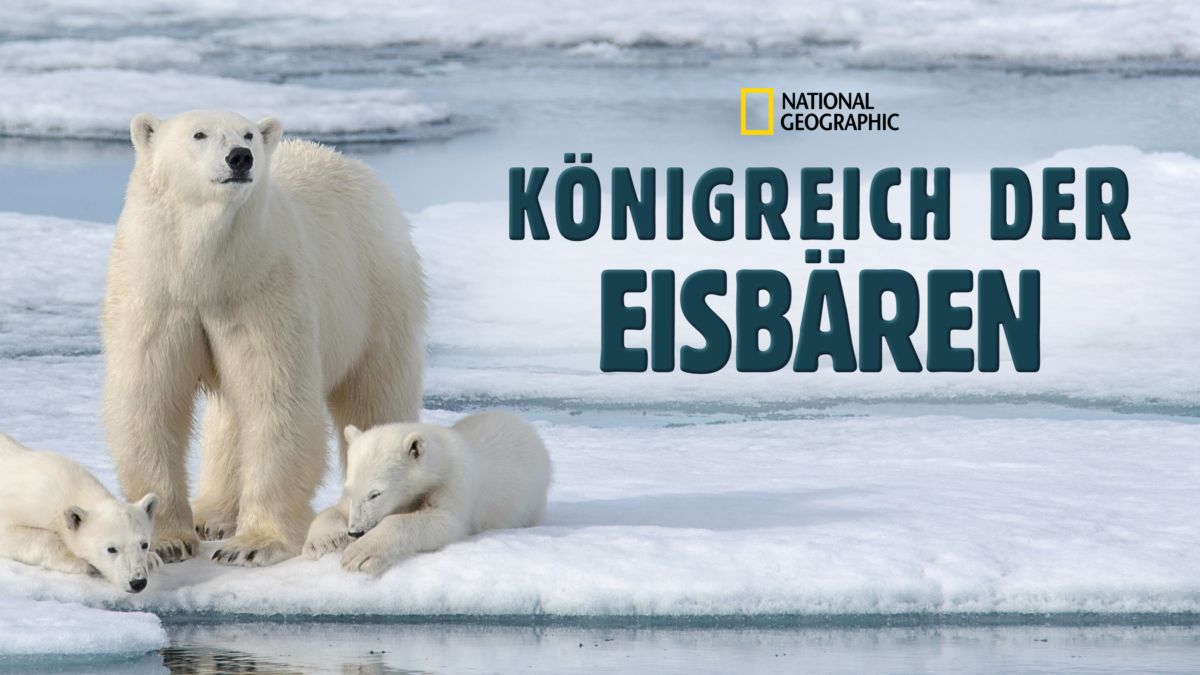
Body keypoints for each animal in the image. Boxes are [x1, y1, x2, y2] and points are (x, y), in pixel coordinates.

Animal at [102, 110, 426, 567]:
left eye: (248, 133)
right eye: (198, 134)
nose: (240, 157)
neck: (207, 272)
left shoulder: (263, 290)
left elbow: (275, 399)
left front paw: (252, 544)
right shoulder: (158, 294)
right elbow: (151, 398)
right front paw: (167, 541)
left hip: (378, 295)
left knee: (374, 395)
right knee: (228, 420)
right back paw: (213, 515)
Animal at [303, 411, 552, 575]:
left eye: (376, 494)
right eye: (349, 489)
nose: (355, 531)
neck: (439, 461)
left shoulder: (454, 480)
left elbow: (444, 521)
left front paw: (359, 554)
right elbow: (334, 510)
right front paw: (324, 541)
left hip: (533, 498)